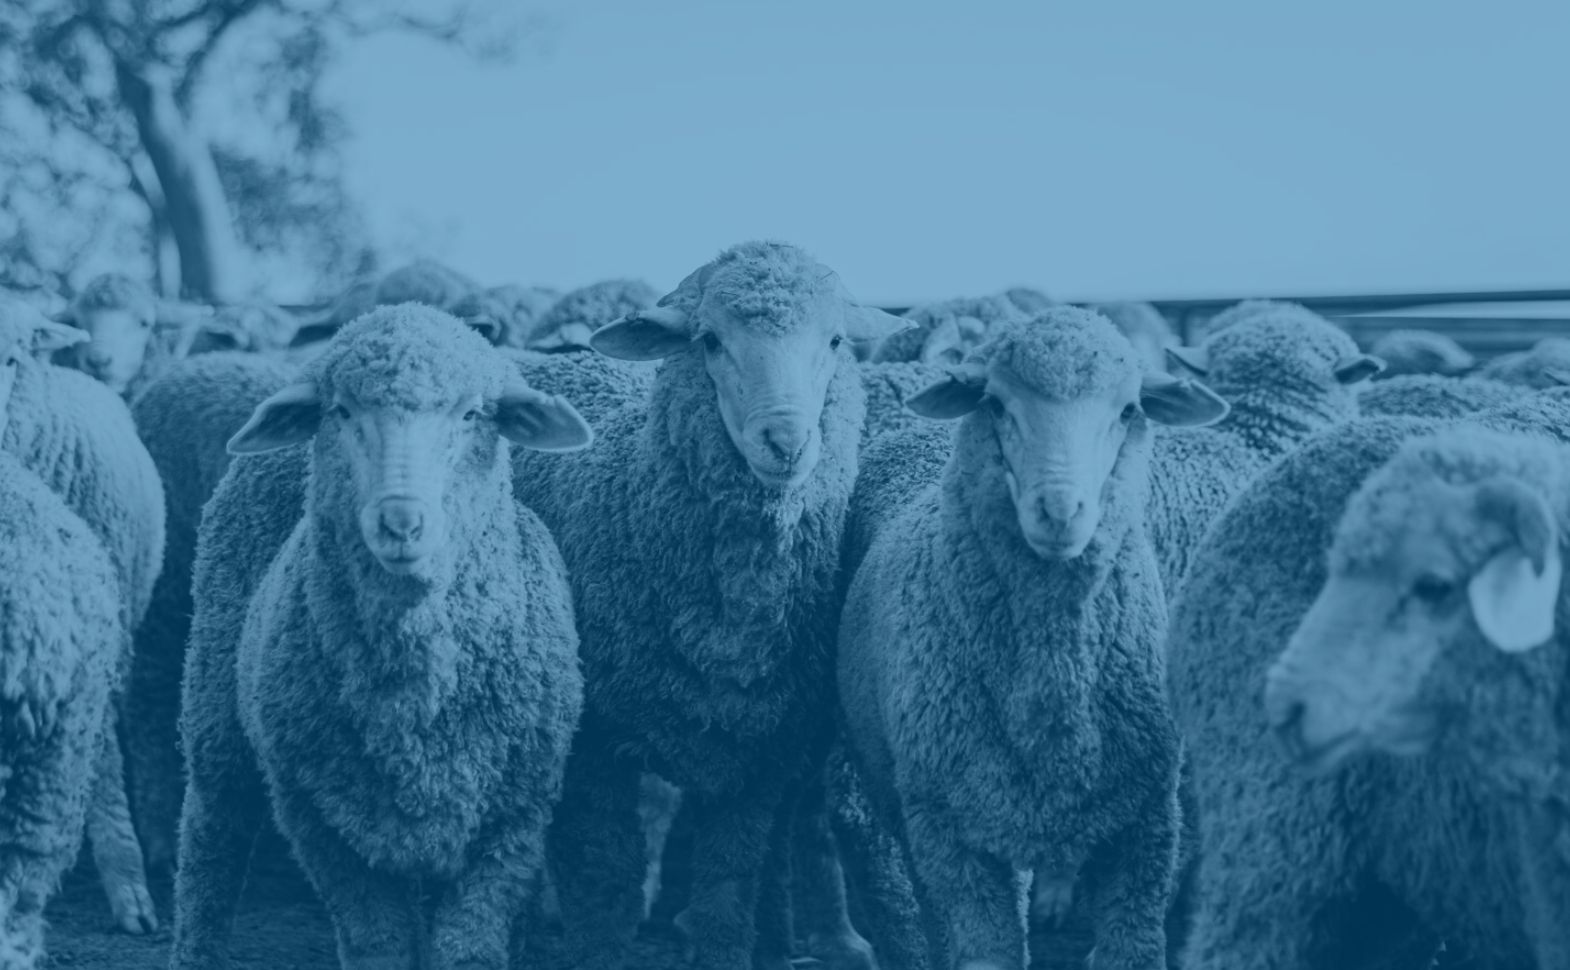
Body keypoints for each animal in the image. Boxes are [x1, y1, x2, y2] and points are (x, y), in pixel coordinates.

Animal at [169, 304, 591, 970]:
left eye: (471, 414)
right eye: (342, 412)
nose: (400, 521)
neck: (411, 697)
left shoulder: (511, 825)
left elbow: (468, 950)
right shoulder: (320, 824)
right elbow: (378, 945)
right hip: (213, 695)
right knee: (212, 837)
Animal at [837, 308, 1229, 970]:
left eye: (1128, 409)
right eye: (995, 403)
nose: (1060, 510)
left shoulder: (1145, 826)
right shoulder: (953, 837)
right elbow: (982, 948)